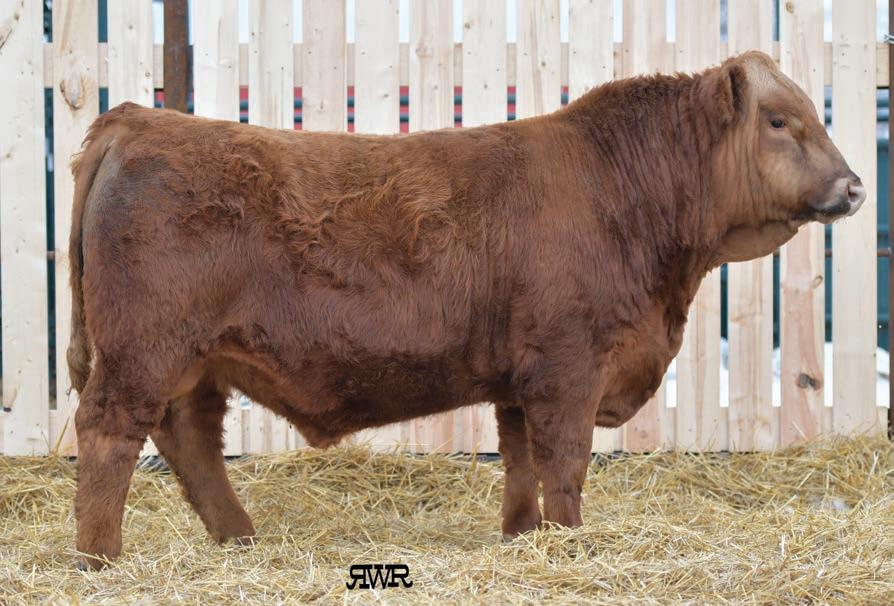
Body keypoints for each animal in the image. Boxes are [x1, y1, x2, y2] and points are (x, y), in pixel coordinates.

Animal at [68, 51, 865, 569]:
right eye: (780, 120)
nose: (855, 186)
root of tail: (137, 121)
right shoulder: (568, 368)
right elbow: (564, 461)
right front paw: (570, 544)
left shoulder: (521, 377)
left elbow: (519, 459)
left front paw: (522, 537)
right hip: (145, 349)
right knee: (110, 432)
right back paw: (100, 558)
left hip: (194, 361)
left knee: (189, 439)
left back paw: (239, 539)